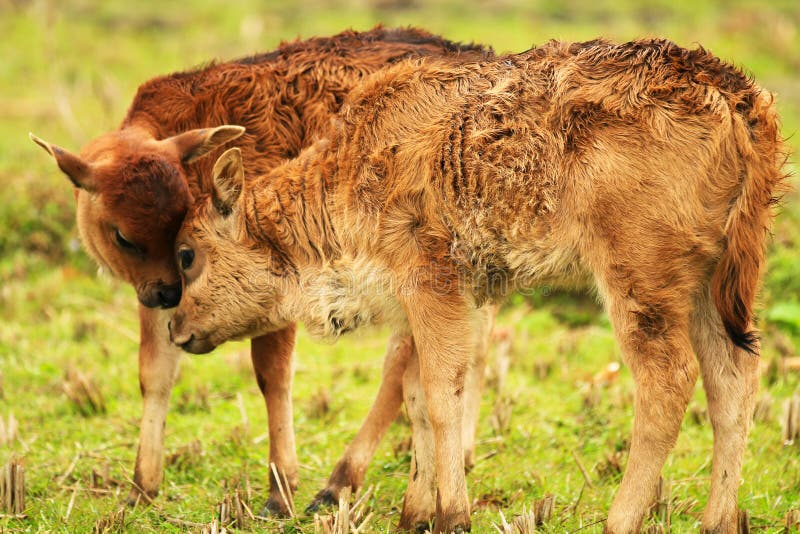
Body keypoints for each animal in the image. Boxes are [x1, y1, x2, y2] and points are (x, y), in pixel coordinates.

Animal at [169, 38, 788, 533]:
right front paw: (414, 514)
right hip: (714, 282)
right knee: (733, 379)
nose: (175, 326)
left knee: (668, 381)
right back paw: (718, 522)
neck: (349, 168)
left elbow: (443, 395)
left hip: (640, 280)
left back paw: (621, 518)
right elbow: (416, 397)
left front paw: (451, 515)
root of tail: (737, 97)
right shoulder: (424, 302)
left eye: (186, 254)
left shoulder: (432, 285)